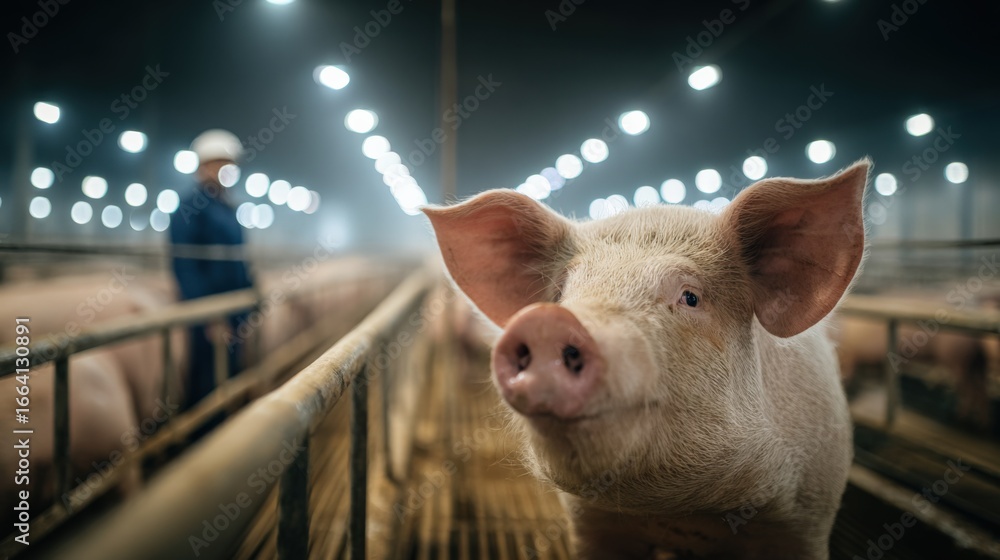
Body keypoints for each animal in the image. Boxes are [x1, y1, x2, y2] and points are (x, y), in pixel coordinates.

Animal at [424, 160, 870, 559]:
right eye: (563, 291)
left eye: (690, 297)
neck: (678, 517)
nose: (546, 322)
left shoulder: (806, 521)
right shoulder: (591, 525)